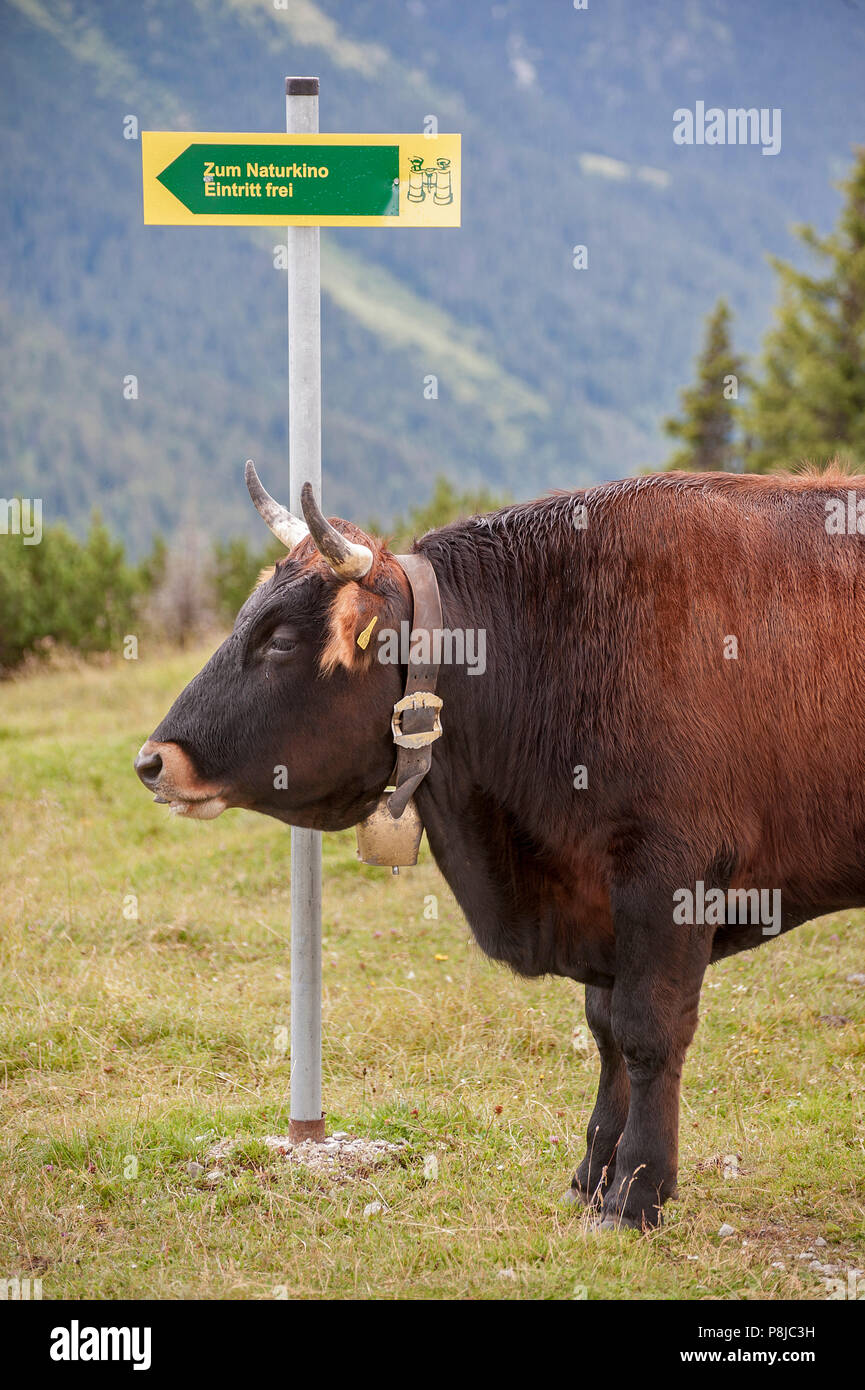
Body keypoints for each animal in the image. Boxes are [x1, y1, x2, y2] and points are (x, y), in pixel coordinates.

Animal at [136, 462, 865, 1229]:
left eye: (278, 640)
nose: (153, 762)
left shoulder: (668, 878)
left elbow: (647, 1030)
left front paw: (636, 1190)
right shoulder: (601, 898)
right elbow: (605, 1030)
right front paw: (592, 1174)